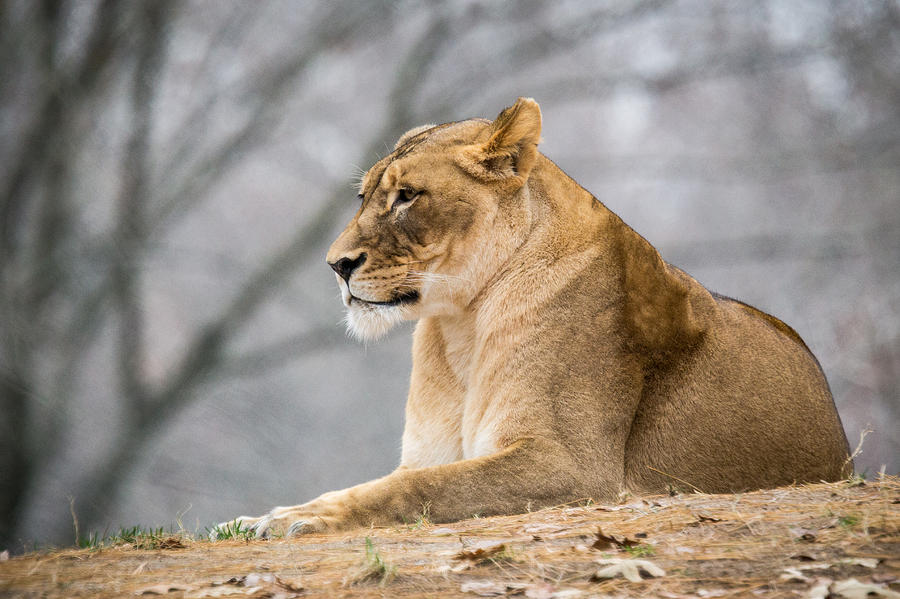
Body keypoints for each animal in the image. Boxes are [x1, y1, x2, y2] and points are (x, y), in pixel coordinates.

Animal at [224, 97, 850, 538]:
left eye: (408, 196)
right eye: (364, 197)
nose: (336, 265)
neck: (461, 326)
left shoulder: (574, 466)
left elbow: (417, 489)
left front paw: (298, 520)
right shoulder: (431, 451)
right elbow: (375, 483)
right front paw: (262, 517)